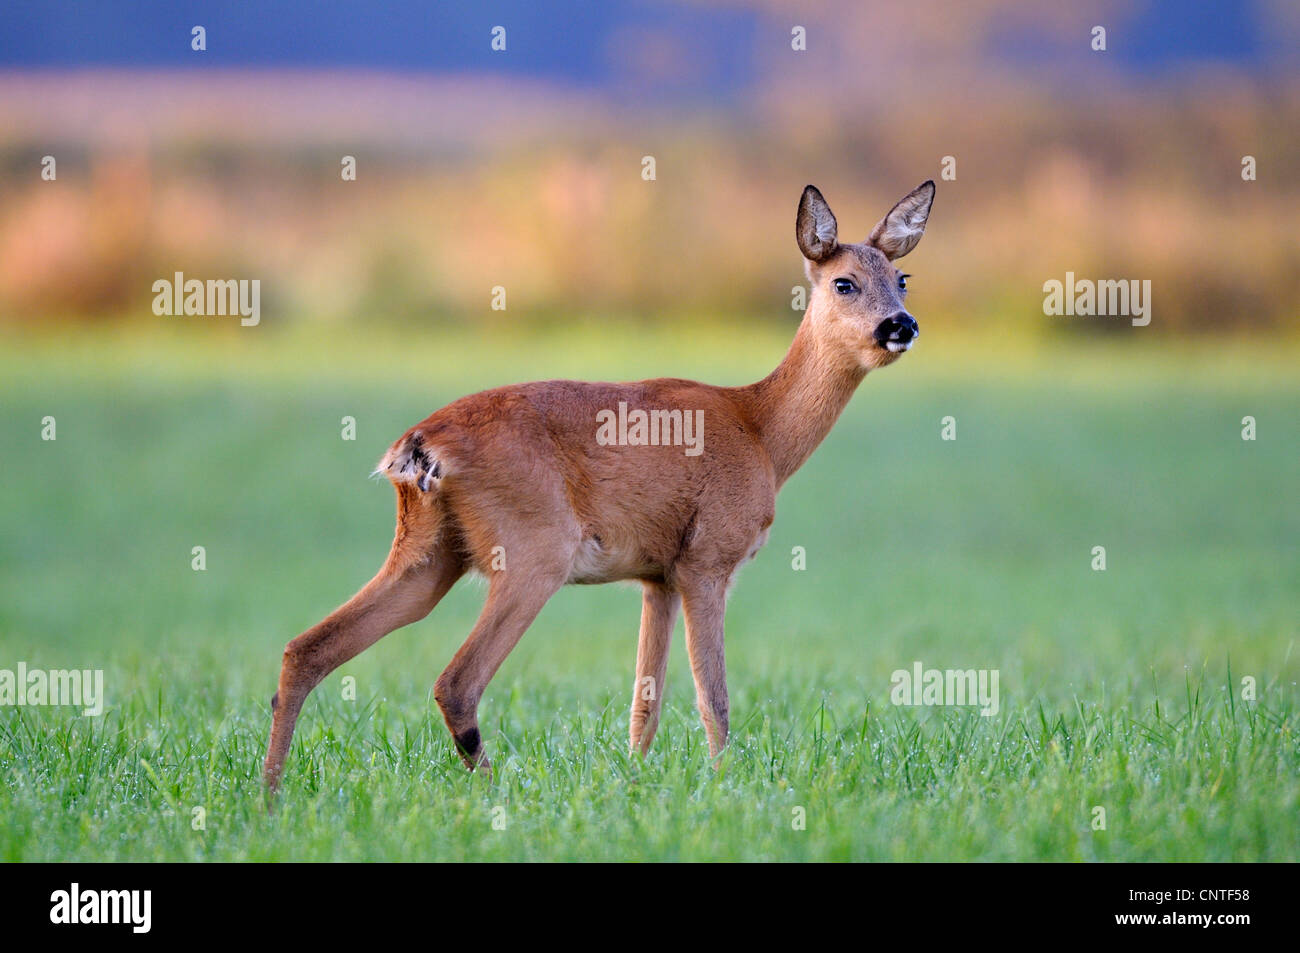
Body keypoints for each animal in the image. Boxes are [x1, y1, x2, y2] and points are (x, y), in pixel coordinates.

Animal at [262, 180, 935, 792]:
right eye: (843, 281)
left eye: (903, 278)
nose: (900, 326)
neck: (762, 431)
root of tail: (419, 443)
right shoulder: (708, 559)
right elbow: (712, 696)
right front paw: (727, 784)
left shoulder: (657, 576)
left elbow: (645, 704)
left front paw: (636, 782)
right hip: (535, 549)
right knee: (455, 682)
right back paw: (499, 790)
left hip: (429, 555)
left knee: (306, 649)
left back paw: (270, 796)